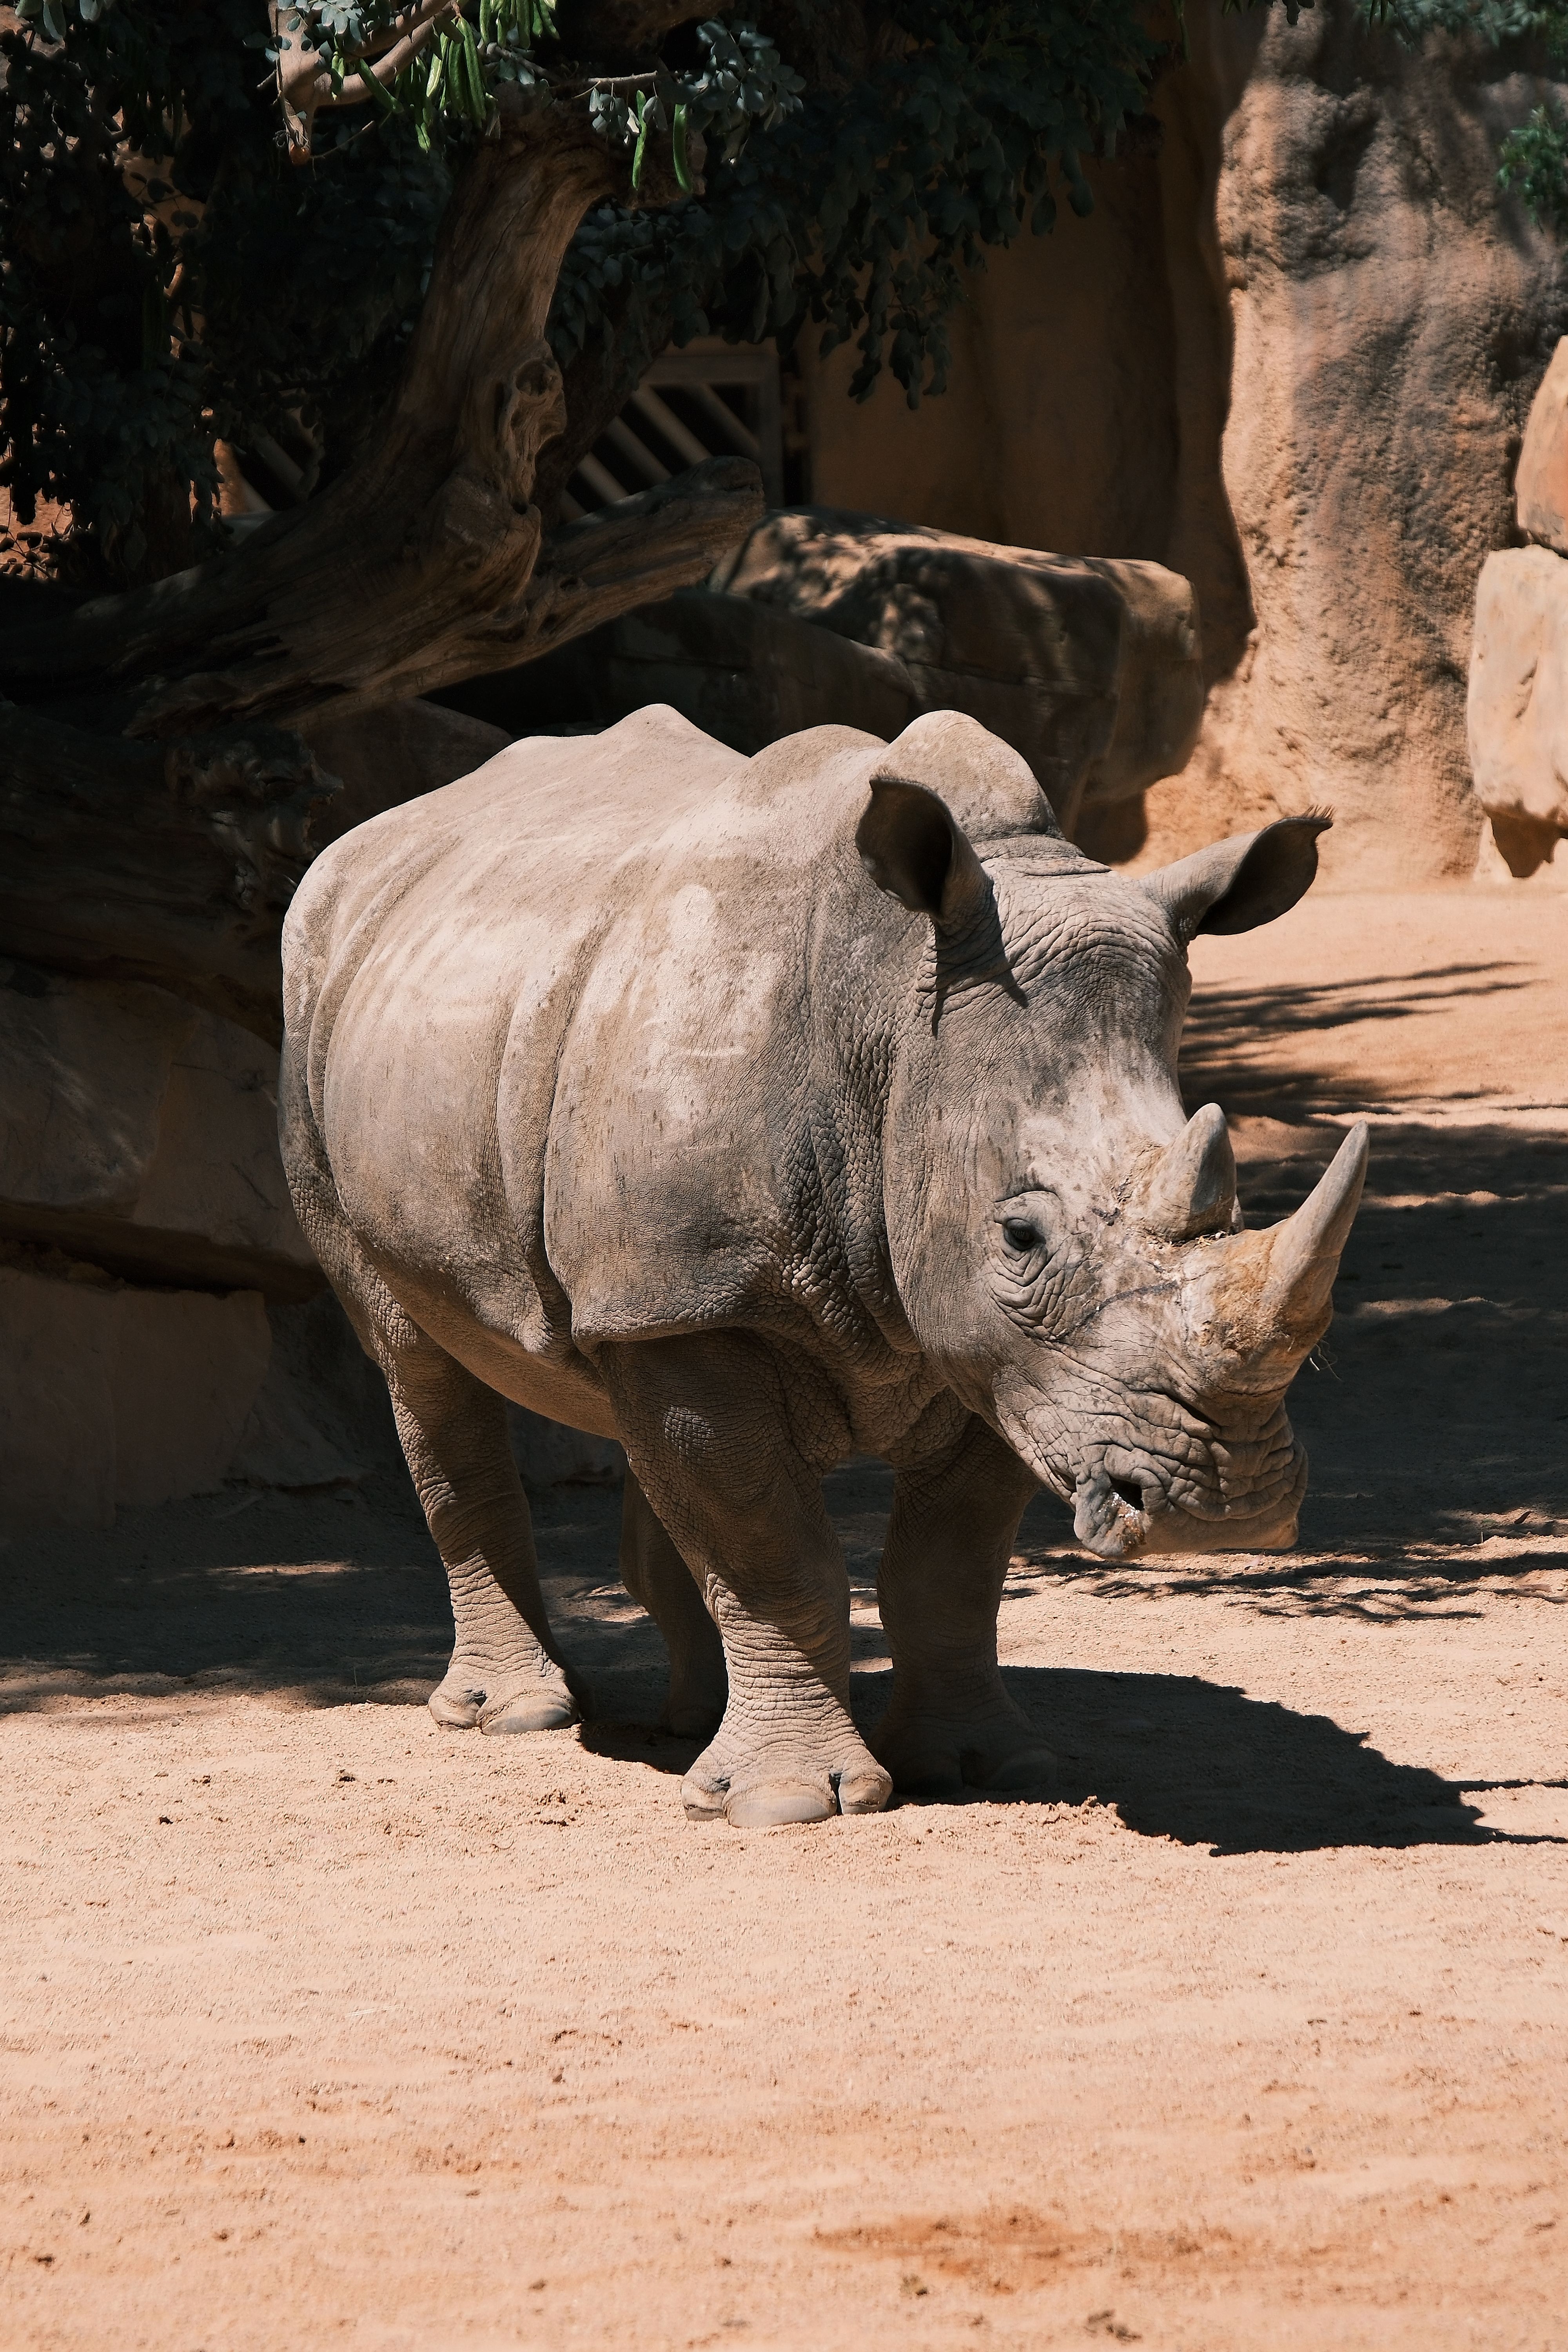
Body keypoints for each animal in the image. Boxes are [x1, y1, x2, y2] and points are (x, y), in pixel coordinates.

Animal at [280, 707, 1366, 1828]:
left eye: (1234, 1211)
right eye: (1020, 1238)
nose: (1225, 1509)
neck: (888, 1013)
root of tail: (371, 840)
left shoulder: (995, 1353)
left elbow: (946, 1571)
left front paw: (979, 1768)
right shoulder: (727, 1303)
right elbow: (770, 1547)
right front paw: (790, 1803)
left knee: (618, 1386)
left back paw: (689, 1724)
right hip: (314, 1008)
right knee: (417, 1359)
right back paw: (516, 1716)